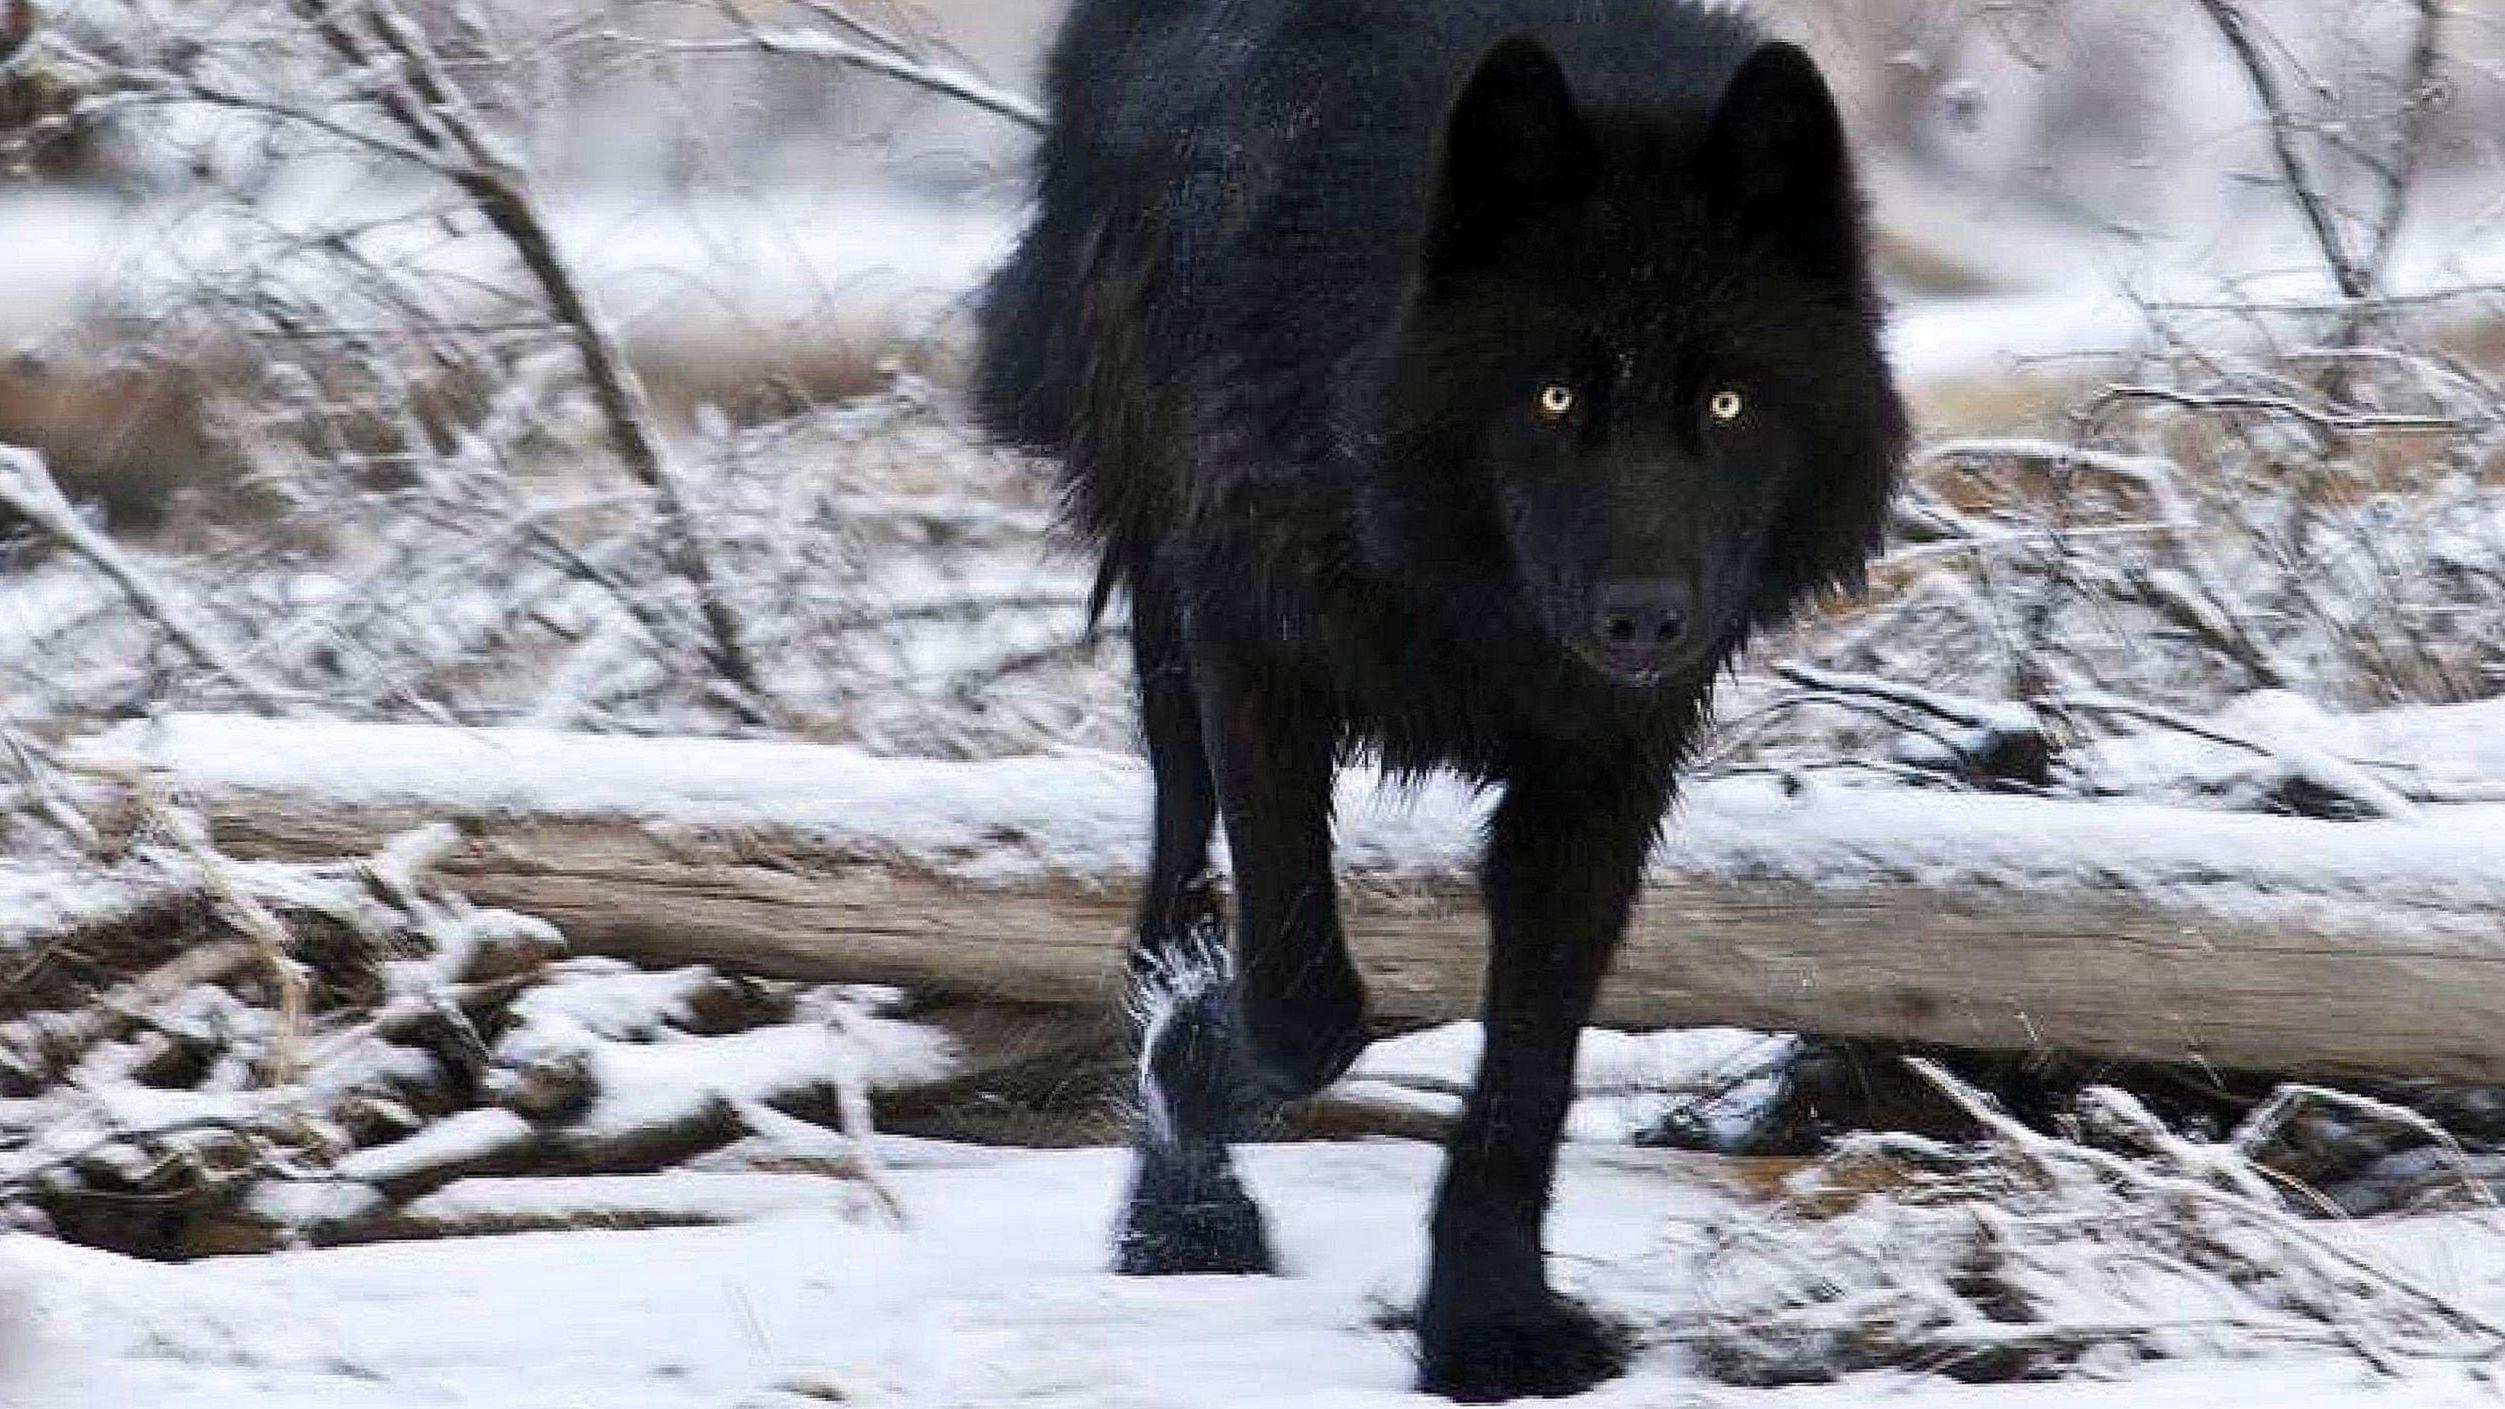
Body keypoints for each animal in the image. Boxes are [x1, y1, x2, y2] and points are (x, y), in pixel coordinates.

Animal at [973, 0, 1906, 1397]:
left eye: (1729, 400)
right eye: (1555, 394)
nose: (1643, 616)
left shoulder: (1603, 771)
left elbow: (1528, 1074)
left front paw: (1490, 1321)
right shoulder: (1252, 648)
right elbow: (1303, 1008)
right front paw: (1188, 1056)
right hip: (1167, 626)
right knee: (1170, 895)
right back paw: (1183, 1218)